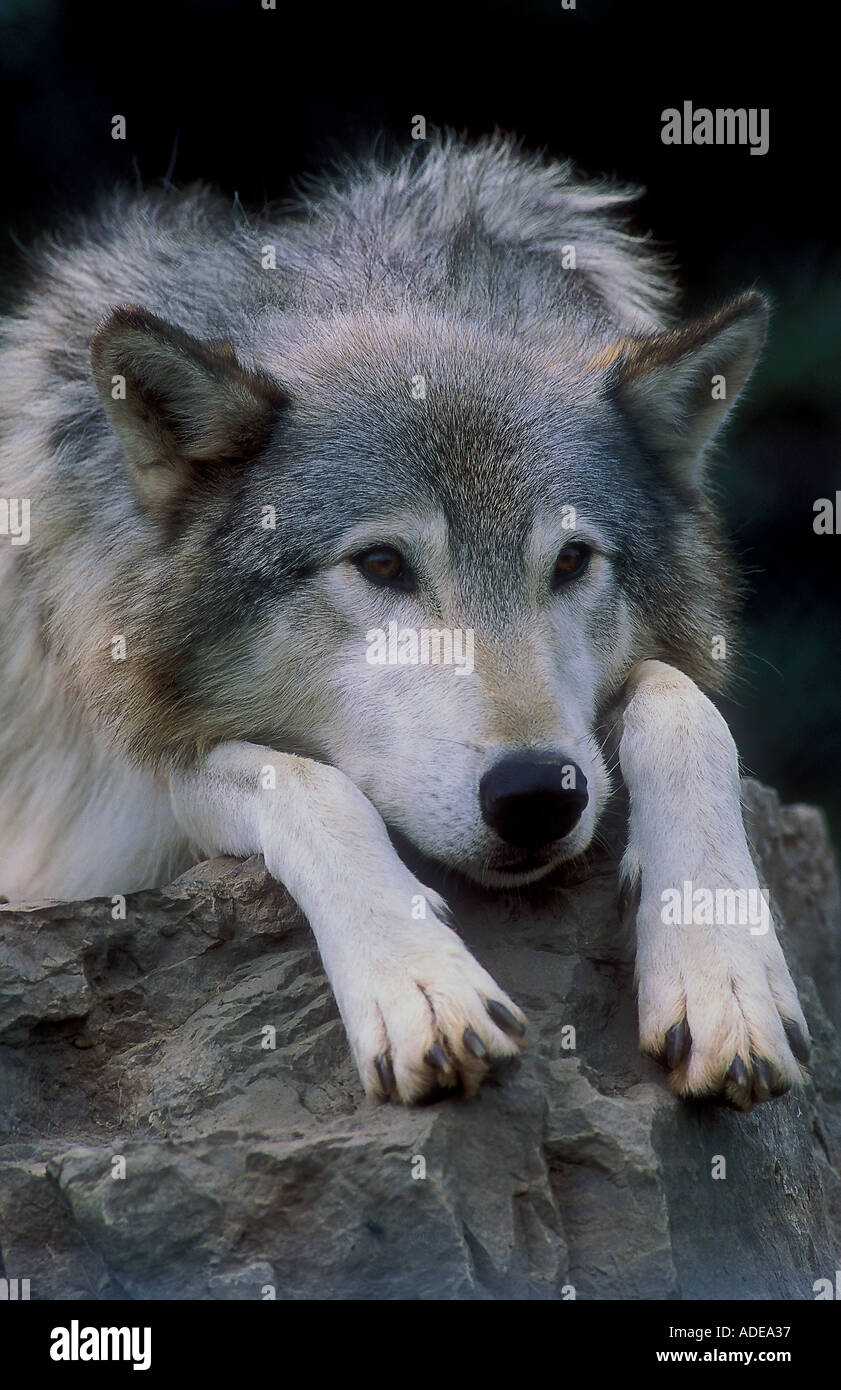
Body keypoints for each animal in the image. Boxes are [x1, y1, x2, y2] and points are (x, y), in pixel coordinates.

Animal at [0, 132, 810, 1111]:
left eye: (571, 562)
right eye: (382, 564)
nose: (538, 794)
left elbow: (685, 708)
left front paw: (721, 970)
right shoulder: (117, 790)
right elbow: (310, 785)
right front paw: (421, 987)